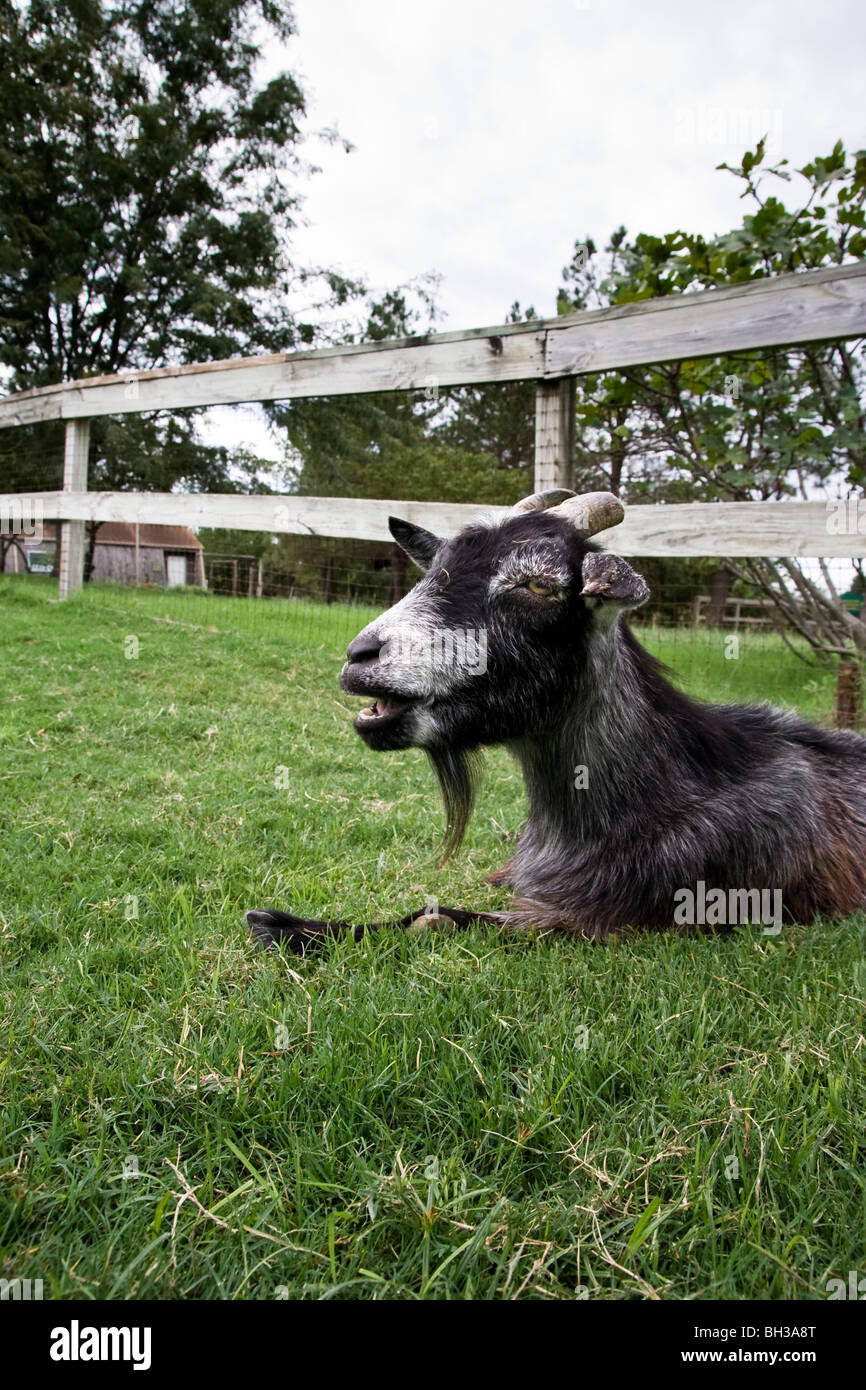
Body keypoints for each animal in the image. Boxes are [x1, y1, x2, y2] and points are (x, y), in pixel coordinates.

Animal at [247, 489, 866, 952]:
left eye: (538, 584)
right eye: (436, 570)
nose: (361, 656)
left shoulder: (629, 913)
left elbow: (432, 919)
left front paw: (287, 926)